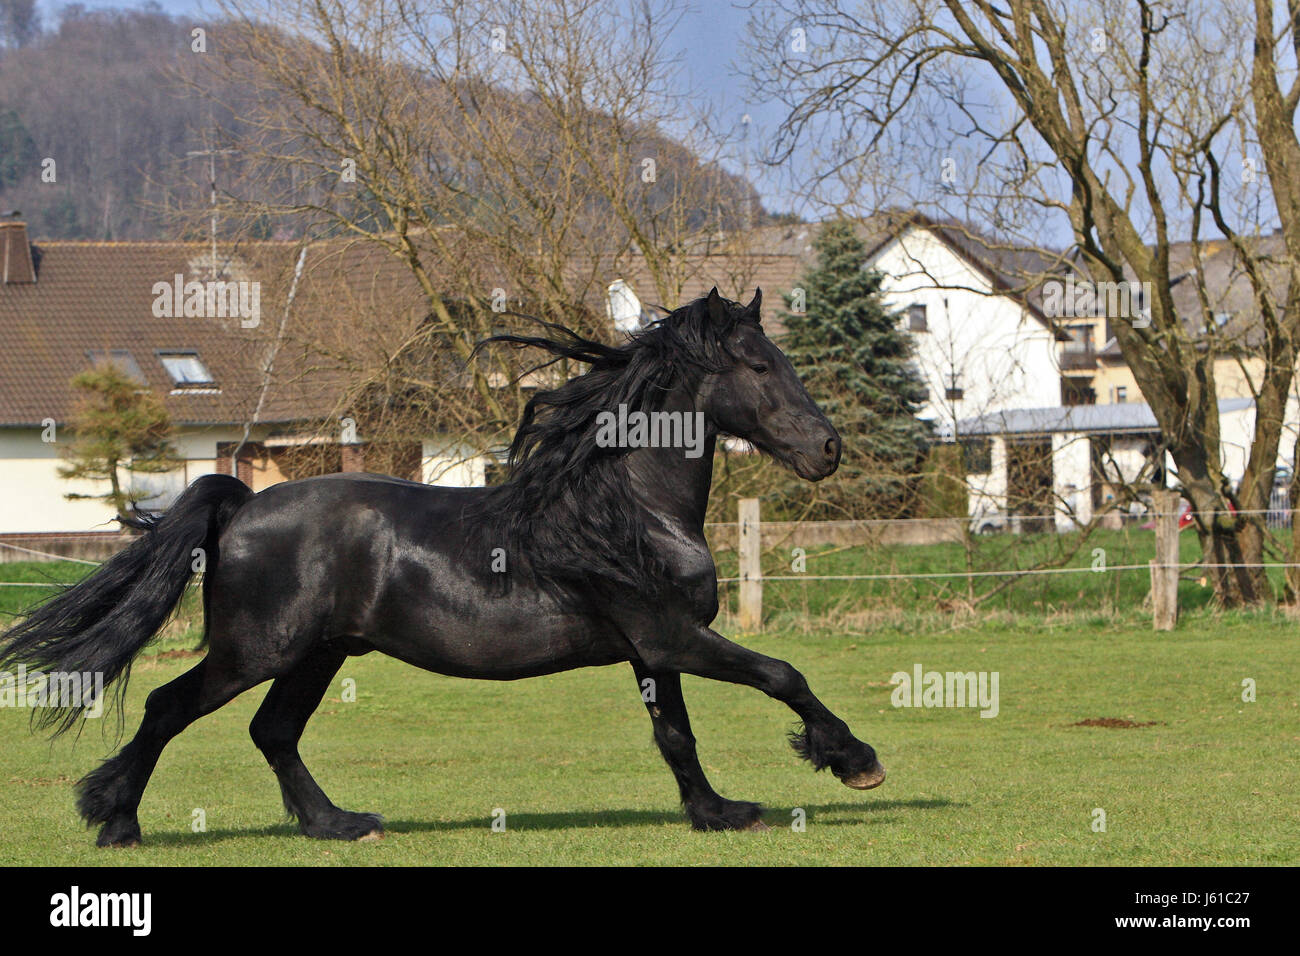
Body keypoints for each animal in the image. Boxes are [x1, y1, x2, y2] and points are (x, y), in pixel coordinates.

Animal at [0, 287, 885, 846]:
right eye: (761, 367)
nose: (829, 450)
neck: (626, 510)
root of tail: (241, 507)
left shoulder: (651, 649)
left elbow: (677, 734)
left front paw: (719, 812)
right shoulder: (669, 637)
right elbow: (782, 674)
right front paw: (853, 761)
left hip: (318, 654)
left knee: (272, 731)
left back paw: (339, 825)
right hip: (259, 650)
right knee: (168, 706)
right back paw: (117, 822)